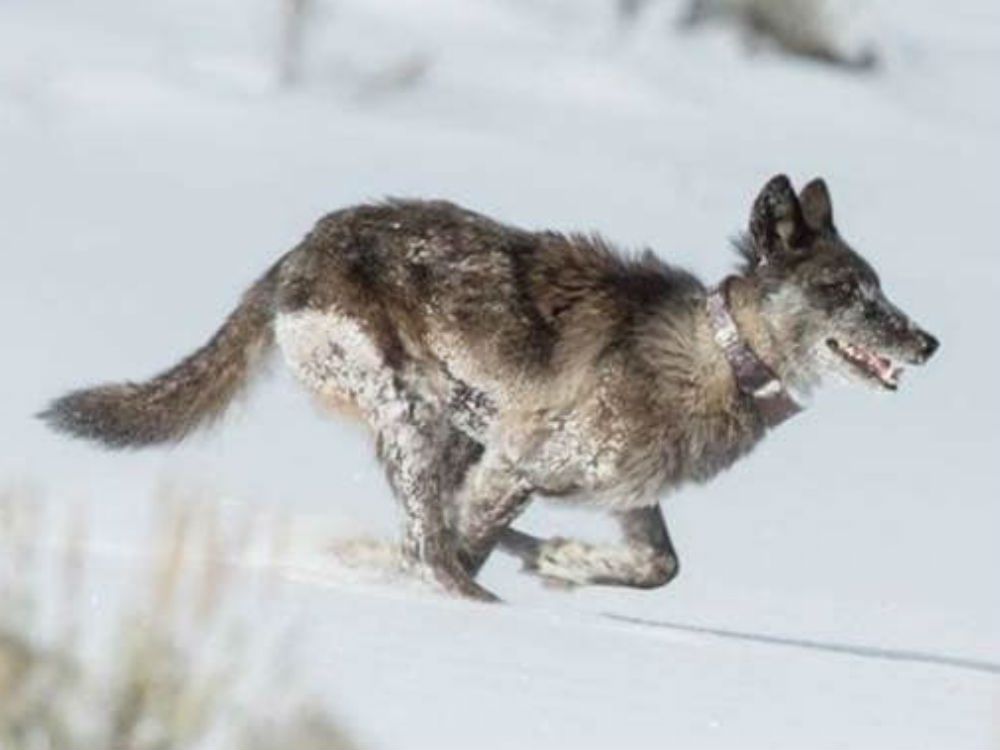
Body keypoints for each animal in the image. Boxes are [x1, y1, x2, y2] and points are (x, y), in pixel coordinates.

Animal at [42, 175, 938, 601]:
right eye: (844, 291)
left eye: (880, 288)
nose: (927, 342)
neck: (717, 351)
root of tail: (300, 250)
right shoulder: (517, 465)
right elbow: (463, 544)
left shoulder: (618, 491)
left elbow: (661, 566)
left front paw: (565, 560)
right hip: (414, 414)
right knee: (428, 549)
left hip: (443, 433)